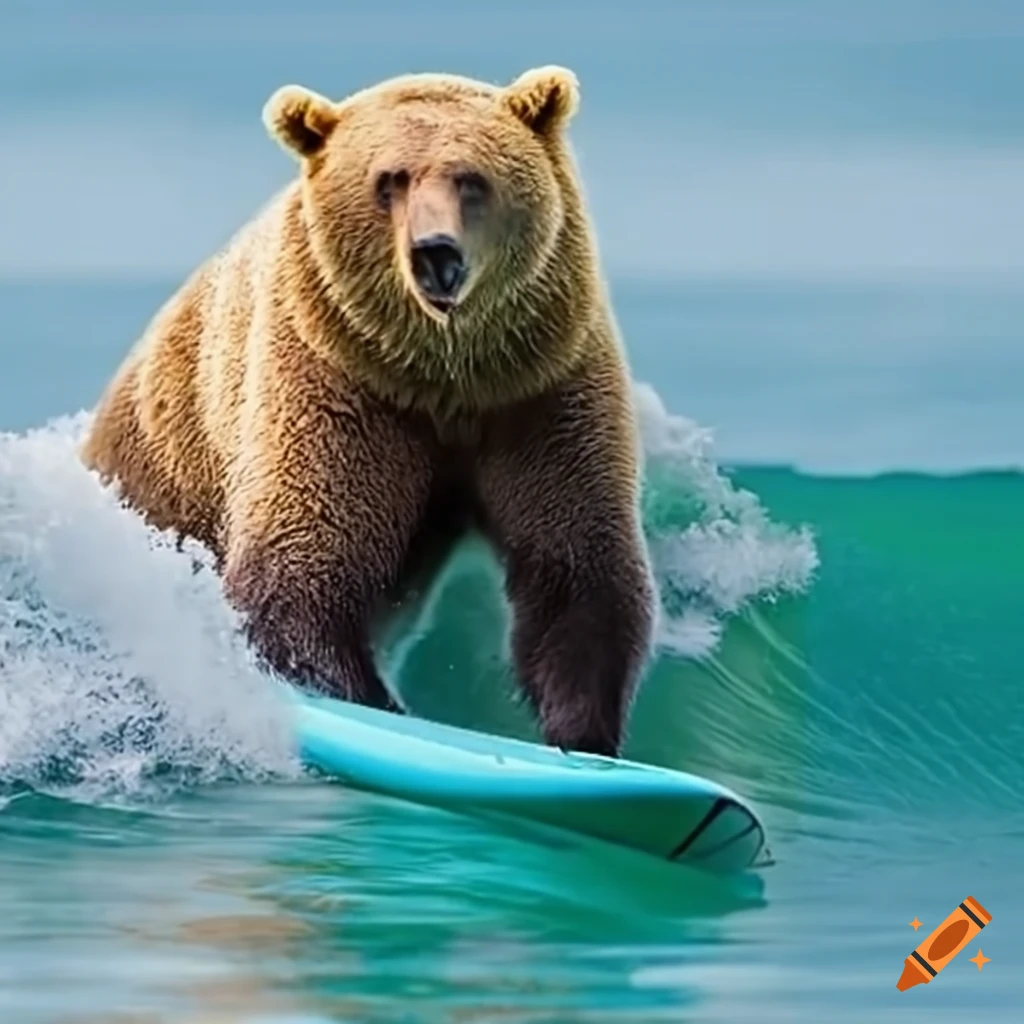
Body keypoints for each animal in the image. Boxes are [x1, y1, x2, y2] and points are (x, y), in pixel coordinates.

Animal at [80, 65, 657, 758]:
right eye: (390, 180)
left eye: (472, 179)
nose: (436, 254)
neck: (444, 377)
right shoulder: (336, 383)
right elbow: (304, 562)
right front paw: (377, 706)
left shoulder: (539, 387)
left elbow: (578, 564)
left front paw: (583, 732)